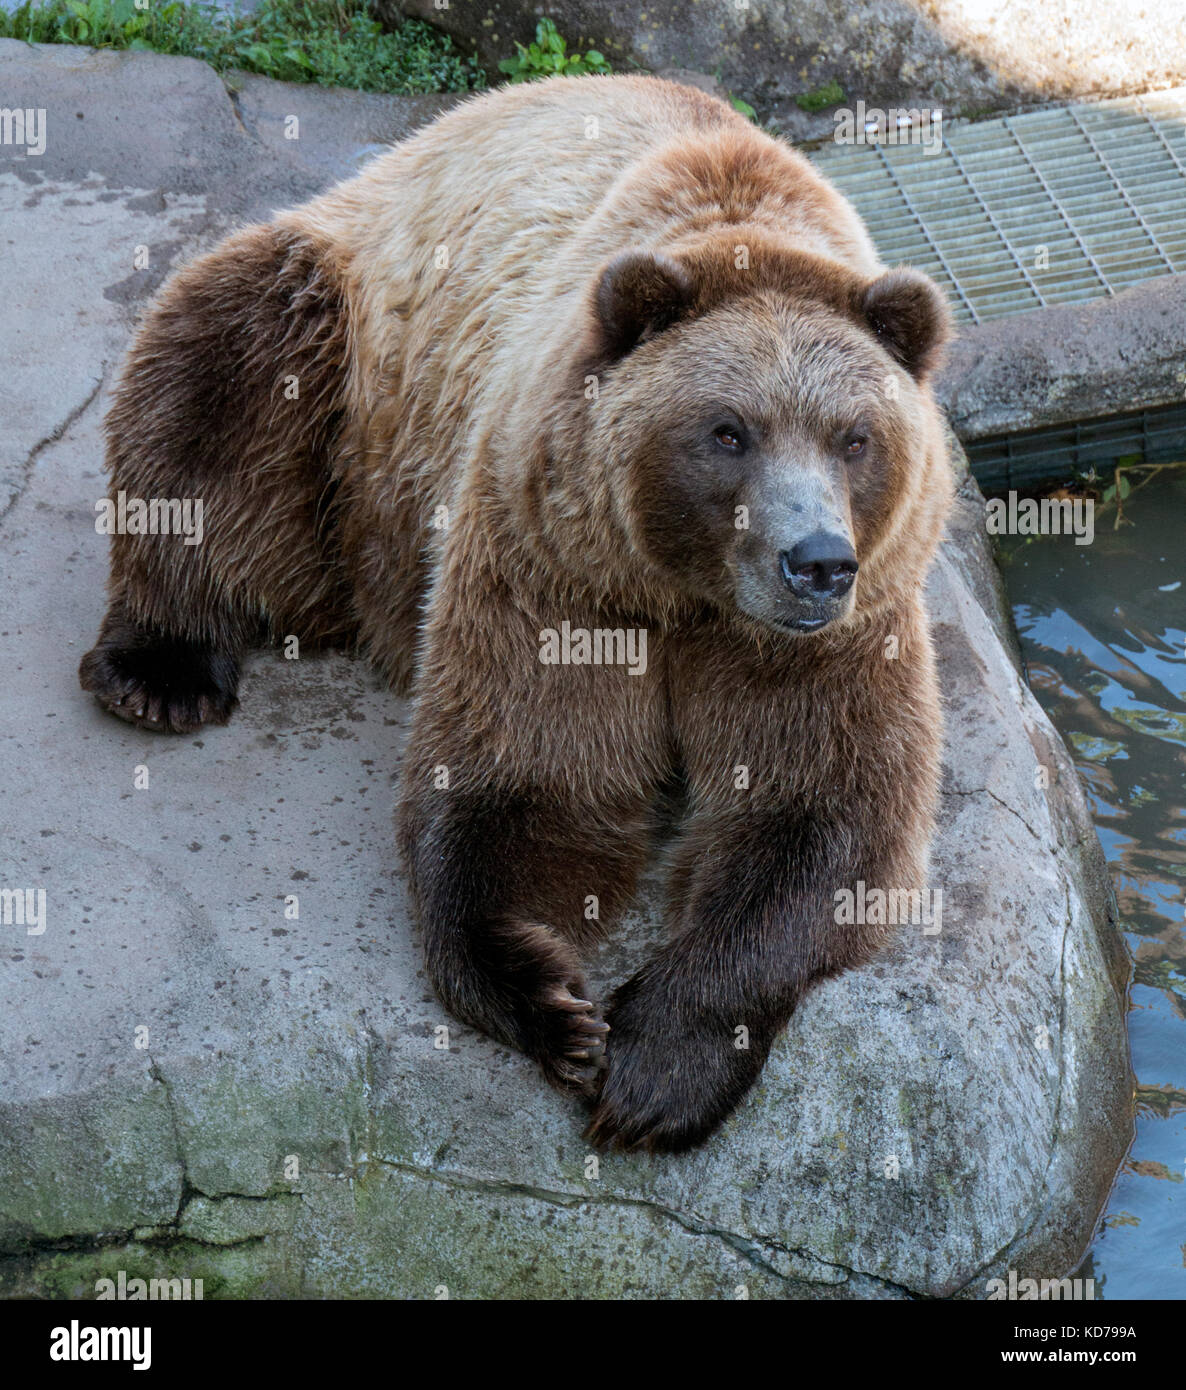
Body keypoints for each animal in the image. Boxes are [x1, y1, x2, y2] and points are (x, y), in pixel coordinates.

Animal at [80, 75, 952, 1152]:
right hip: (350, 359)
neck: (688, 594)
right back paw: (159, 670)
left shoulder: (838, 633)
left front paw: (656, 1068)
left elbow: (823, 820)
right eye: (727, 431)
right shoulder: (555, 565)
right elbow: (529, 778)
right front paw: (554, 1005)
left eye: (854, 436)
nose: (815, 562)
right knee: (215, 374)